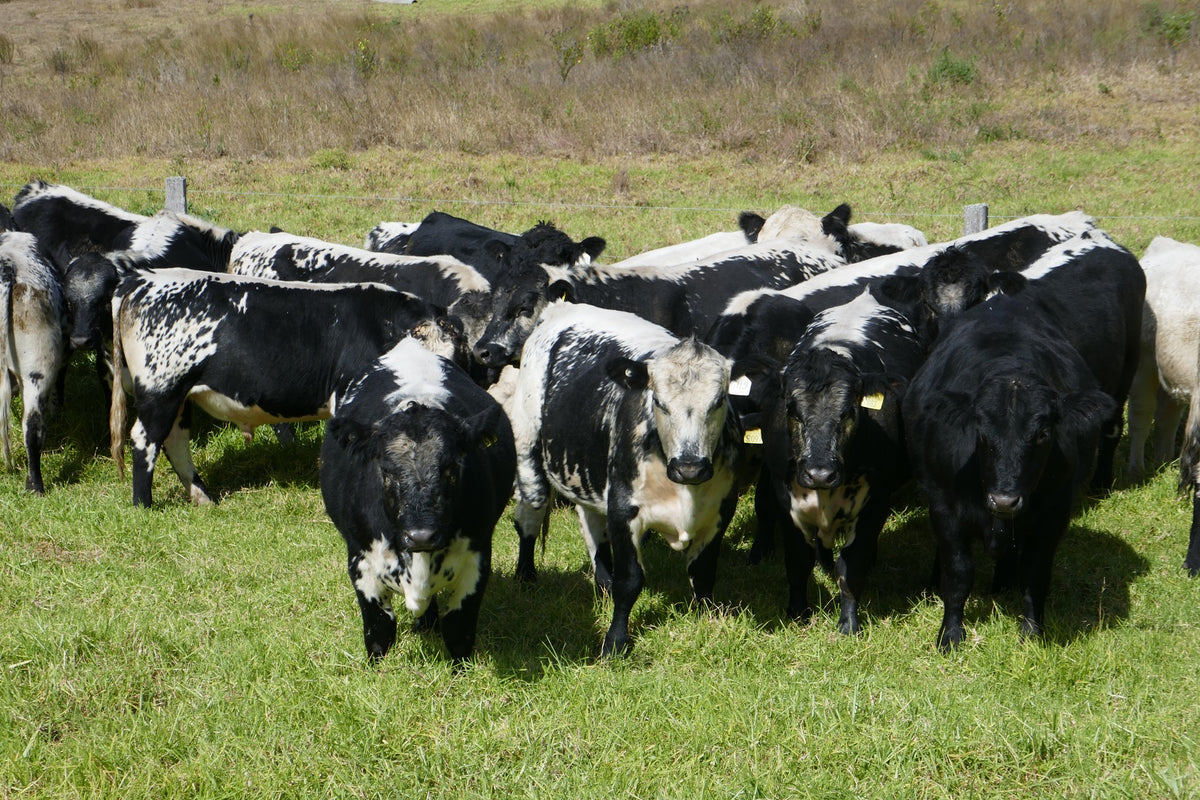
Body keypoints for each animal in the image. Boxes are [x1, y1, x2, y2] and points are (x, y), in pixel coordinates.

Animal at [108, 268, 461, 508]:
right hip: (161, 390)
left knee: (175, 440)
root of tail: (142, 280)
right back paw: (144, 504)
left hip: (179, 396)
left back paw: (203, 497)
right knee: (146, 439)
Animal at [321, 337, 515, 663]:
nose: (421, 535)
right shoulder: (361, 562)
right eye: (386, 471)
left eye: (452, 468)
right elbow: (379, 632)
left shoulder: (477, 558)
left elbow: (459, 631)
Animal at [509, 302, 743, 656]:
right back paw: (525, 575)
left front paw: (707, 618)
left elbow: (702, 572)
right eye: (659, 402)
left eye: (718, 401)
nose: (689, 467)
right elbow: (630, 580)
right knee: (528, 519)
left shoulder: (722, 508)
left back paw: (602, 581)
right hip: (528, 456)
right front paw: (615, 642)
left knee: (590, 524)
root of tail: (561, 307)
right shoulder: (623, 509)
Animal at [737, 286, 927, 634]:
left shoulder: (876, 502)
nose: (819, 474)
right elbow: (798, 561)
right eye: (791, 410)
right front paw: (798, 613)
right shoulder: (786, 500)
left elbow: (851, 567)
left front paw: (848, 624)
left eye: (849, 410)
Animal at [903, 272, 1133, 650]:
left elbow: (1036, 572)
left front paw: (1032, 632)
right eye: (981, 432)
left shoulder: (1055, 511)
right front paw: (950, 636)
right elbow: (958, 572)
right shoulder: (943, 504)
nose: (1004, 500)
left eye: (1042, 434)